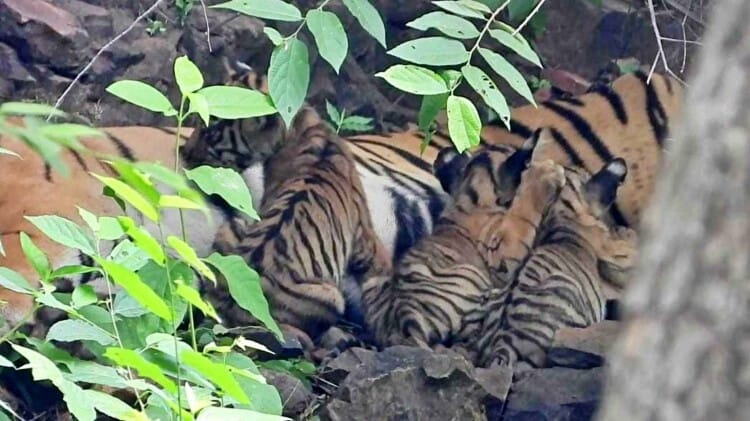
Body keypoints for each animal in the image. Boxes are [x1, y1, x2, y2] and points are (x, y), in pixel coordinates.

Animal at [360, 130, 566, 349]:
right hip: (471, 277)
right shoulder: (501, 253)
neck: (468, 197)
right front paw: (548, 172)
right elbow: (523, 214)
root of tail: (403, 325)